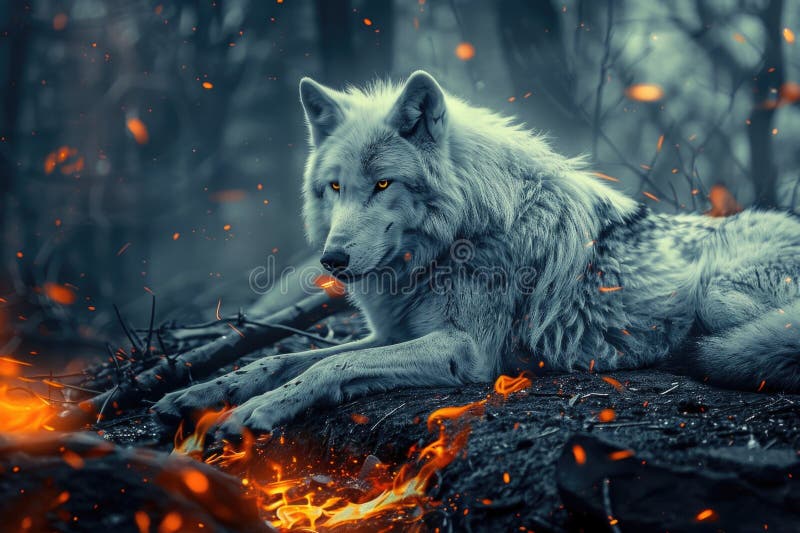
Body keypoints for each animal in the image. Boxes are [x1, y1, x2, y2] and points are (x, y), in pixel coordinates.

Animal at [155, 70, 800, 434]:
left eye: (383, 184)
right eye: (334, 187)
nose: (332, 262)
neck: (458, 237)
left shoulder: (463, 348)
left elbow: (324, 366)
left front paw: (256, 411)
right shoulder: (390, 334)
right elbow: (285, 360)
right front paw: (199, 393)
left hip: (716, 296)